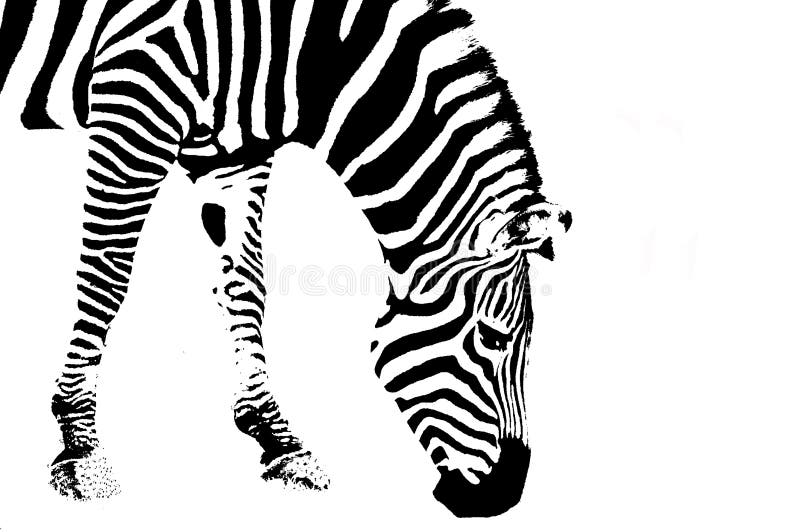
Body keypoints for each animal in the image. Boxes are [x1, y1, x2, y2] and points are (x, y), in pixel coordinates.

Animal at [0, 0, 571, 518]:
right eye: (492, 340)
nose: (506, 497)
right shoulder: (135, 90)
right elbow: (106, 275)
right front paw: (80, 446)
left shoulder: (231, 150)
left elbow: (244, 283)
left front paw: (280, 441)